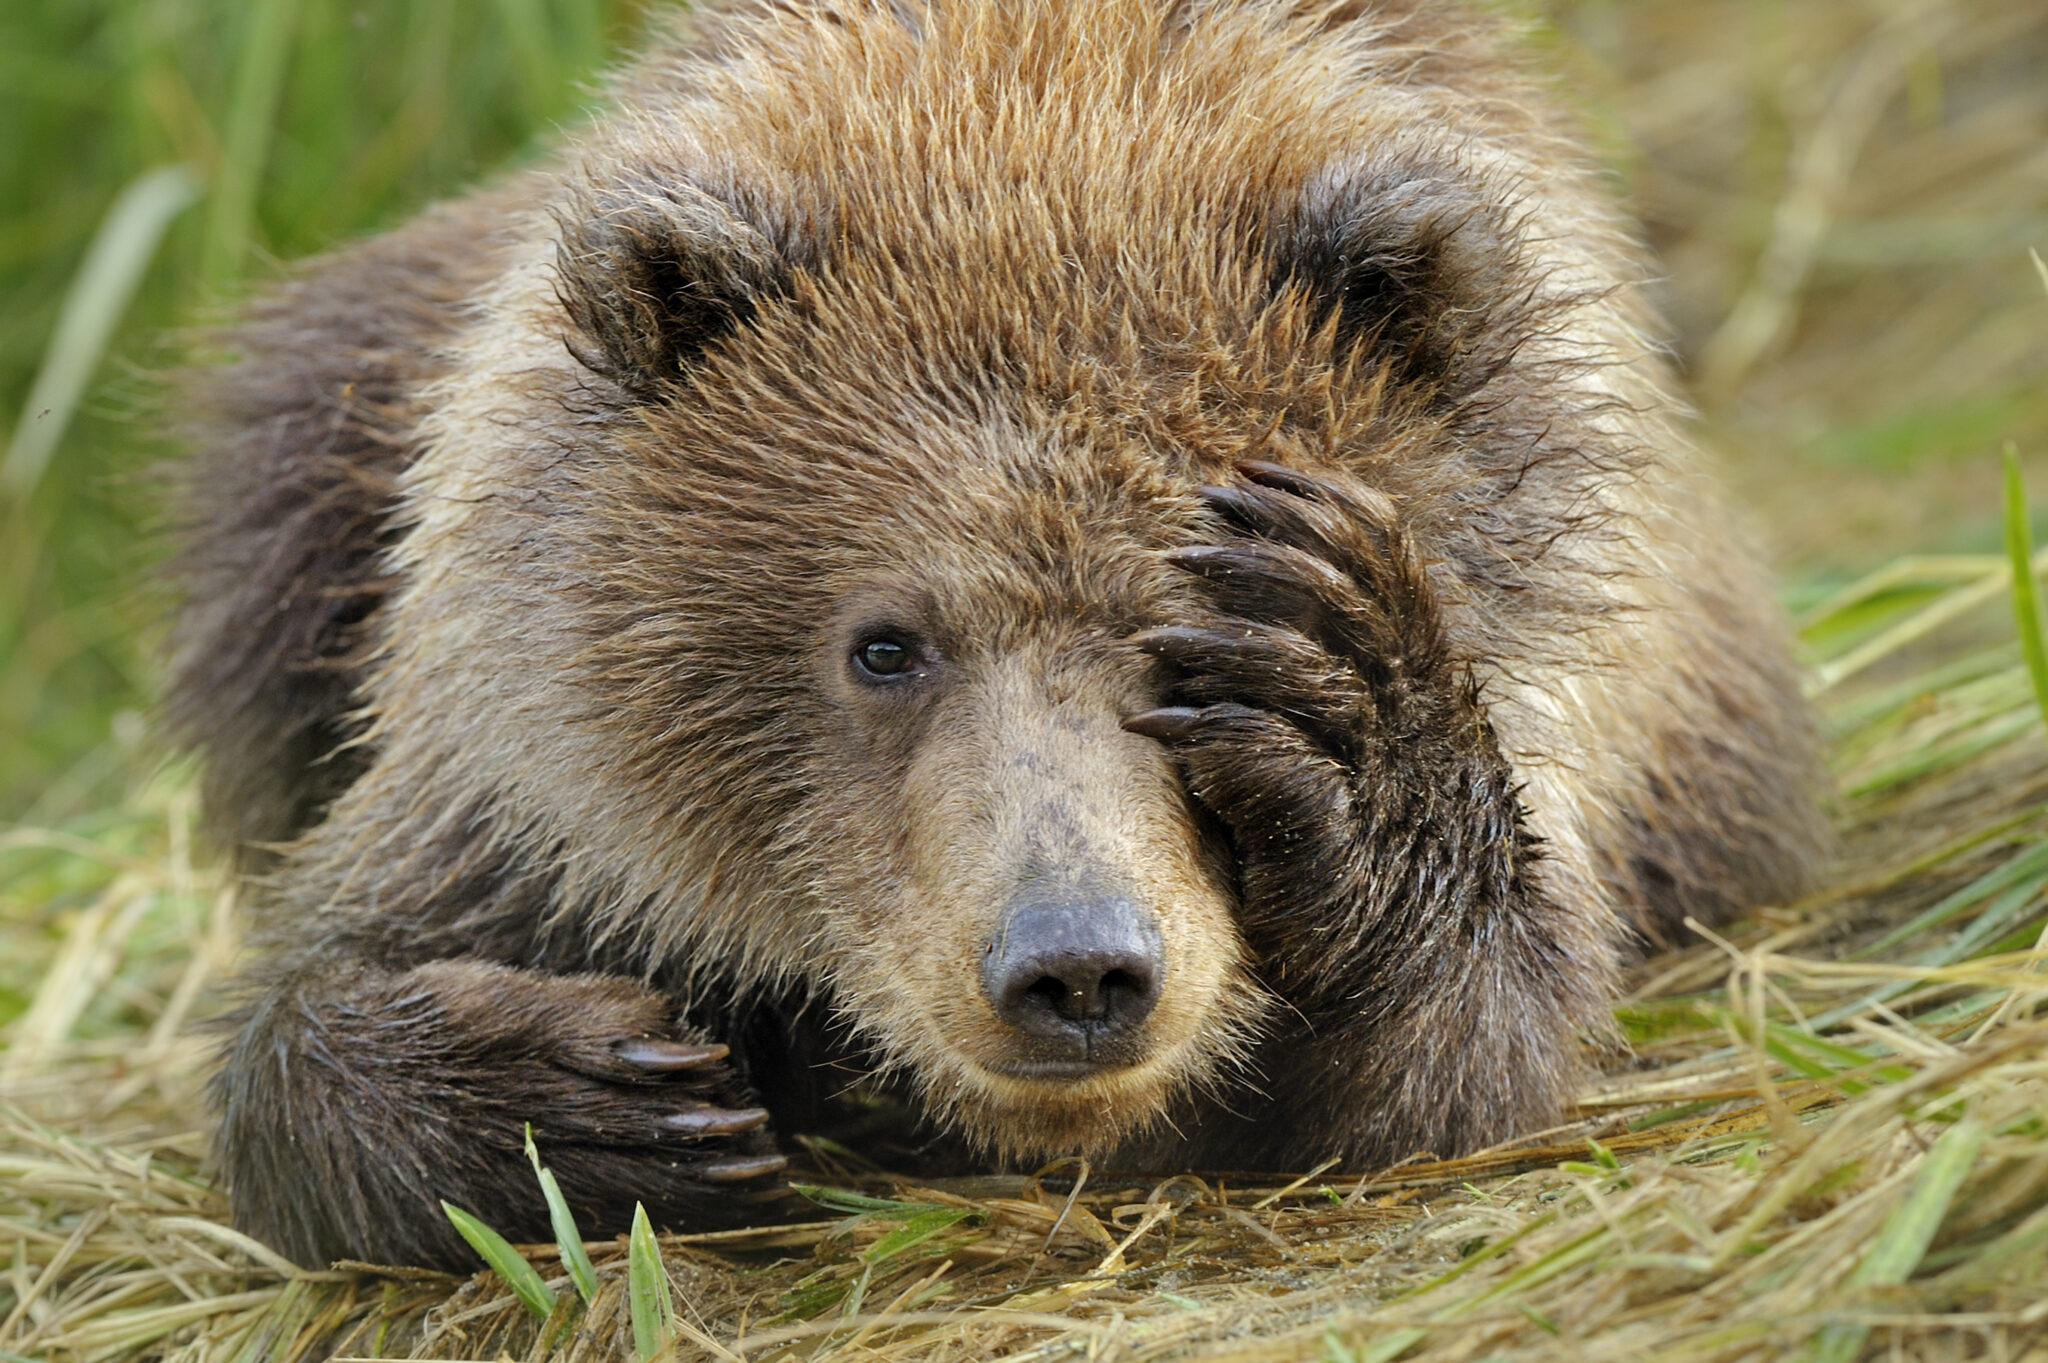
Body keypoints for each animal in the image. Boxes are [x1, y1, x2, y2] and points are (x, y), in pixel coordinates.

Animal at [169, 0, 1828, 1271]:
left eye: (1186, 631)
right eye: (885, 642)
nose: (1076, 963)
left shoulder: (1586, 691)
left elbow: (1469, 1053)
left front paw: (1341, 707)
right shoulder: (520, 760)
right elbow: (314, 1002)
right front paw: (596, 1092)